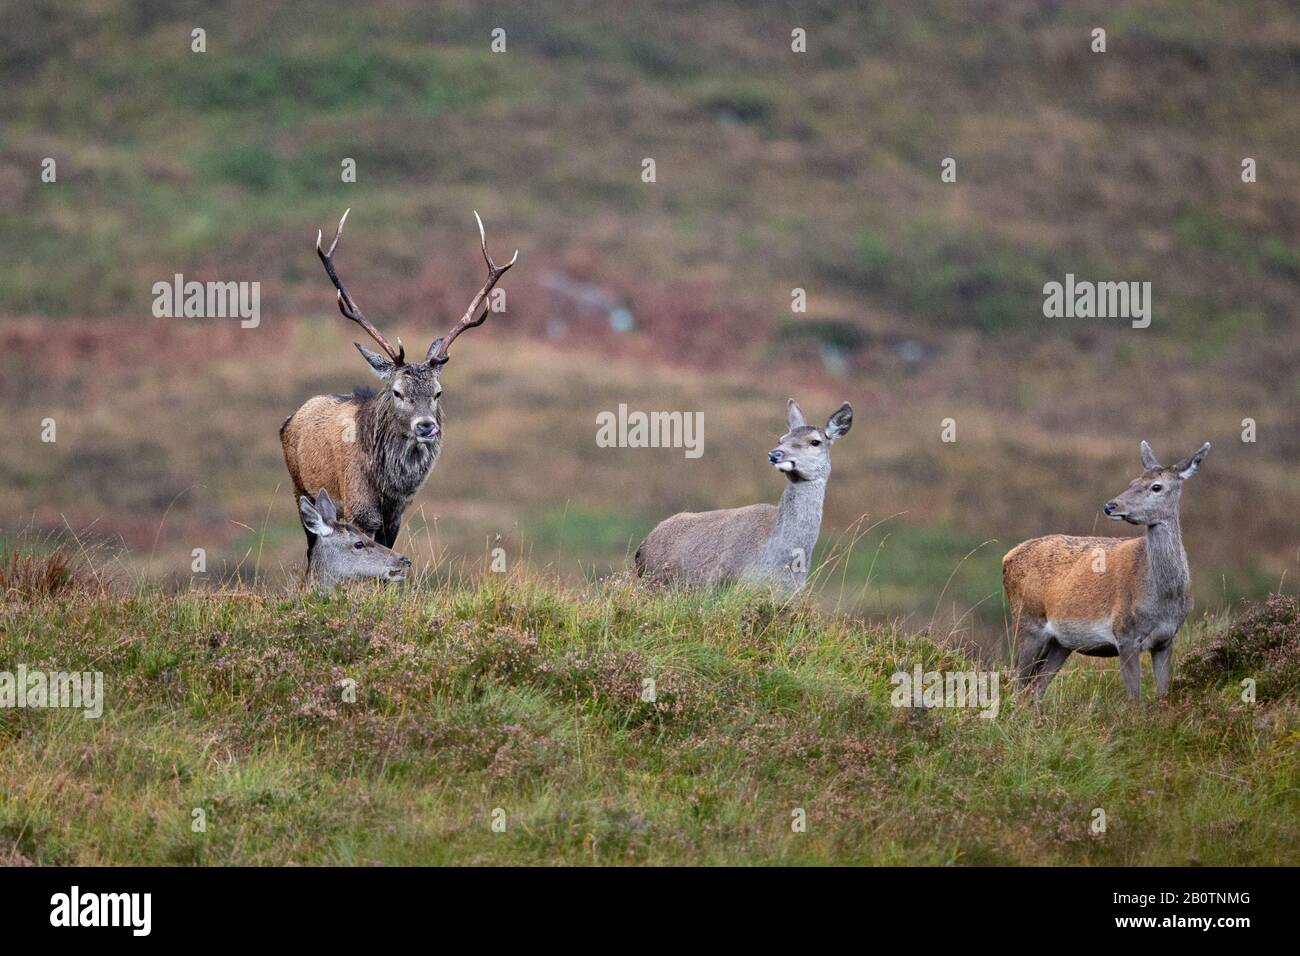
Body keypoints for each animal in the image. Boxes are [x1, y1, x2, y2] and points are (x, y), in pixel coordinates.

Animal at [280, 208, 517, 565]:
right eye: (397, 392)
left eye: (438, 393)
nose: (426, 426)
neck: (388, 485)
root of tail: (290, 419)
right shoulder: (358, 507)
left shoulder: (396, 515)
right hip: (300, 489)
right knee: (311, 547)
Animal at [1002, 440, 1211, 700]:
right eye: (1132, 482)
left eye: (1156, 486)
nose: (1110, 505)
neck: (1163, 598)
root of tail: (1007, 558)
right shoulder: (1125, 633)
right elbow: (1134, 699)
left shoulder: (1166, 639)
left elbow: (1163, 694)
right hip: (1028, 622)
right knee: (1017, 685)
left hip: (1060, 643)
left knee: (1036, 689)